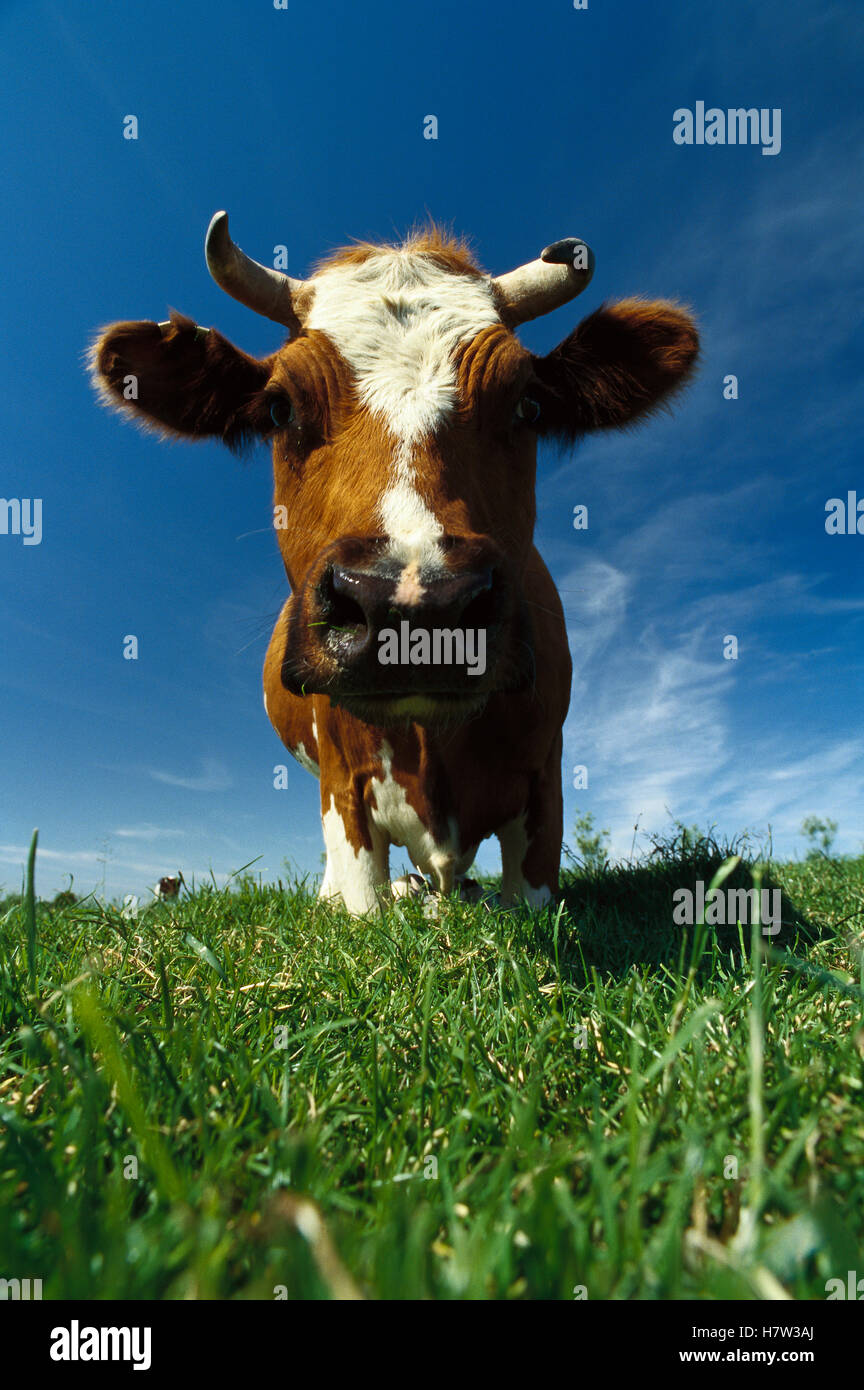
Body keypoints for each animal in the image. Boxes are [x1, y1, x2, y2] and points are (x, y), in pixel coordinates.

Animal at [91, 214, 698, 915]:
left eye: (526, 405)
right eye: (279, 407)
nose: (414, 603)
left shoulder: (545, 771)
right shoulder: (343, 781)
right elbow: (362, 900)